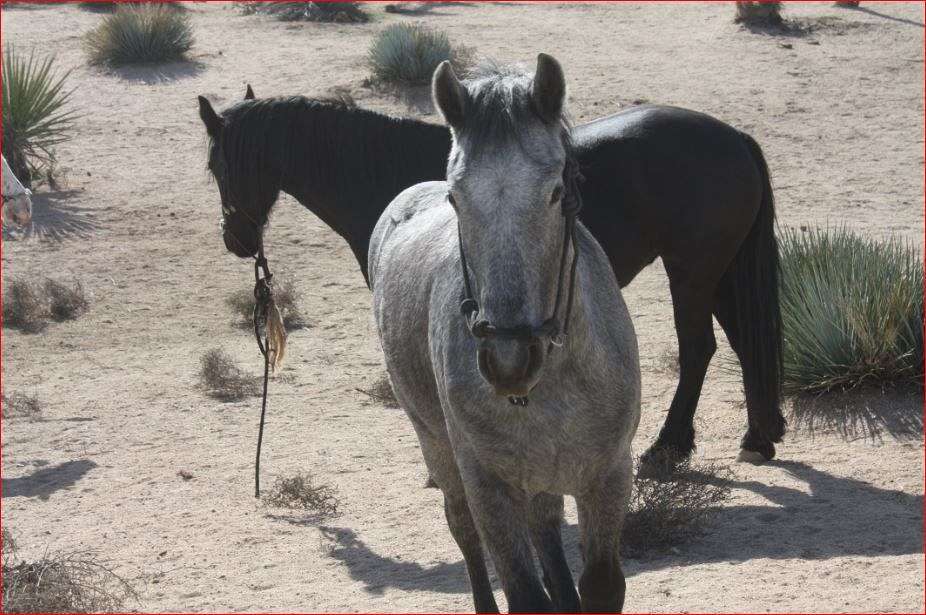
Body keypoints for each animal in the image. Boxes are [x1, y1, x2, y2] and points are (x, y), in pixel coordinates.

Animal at [198, 72, 784, 467]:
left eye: (218, 164)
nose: (236, 239)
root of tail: (736, 139)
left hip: (692, 274)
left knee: (699, 349)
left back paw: (669, 447)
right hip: (718, 273)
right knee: (745, 343)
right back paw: (759, 437)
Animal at [369, 54, 640, 613]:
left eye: (556, 193)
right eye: (455, 198)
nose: (509, 360)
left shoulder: (609, 476)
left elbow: (601, 582)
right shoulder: (489, 487)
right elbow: (522, 590)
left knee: (544, 528)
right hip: (437, 447)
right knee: (464, 530)